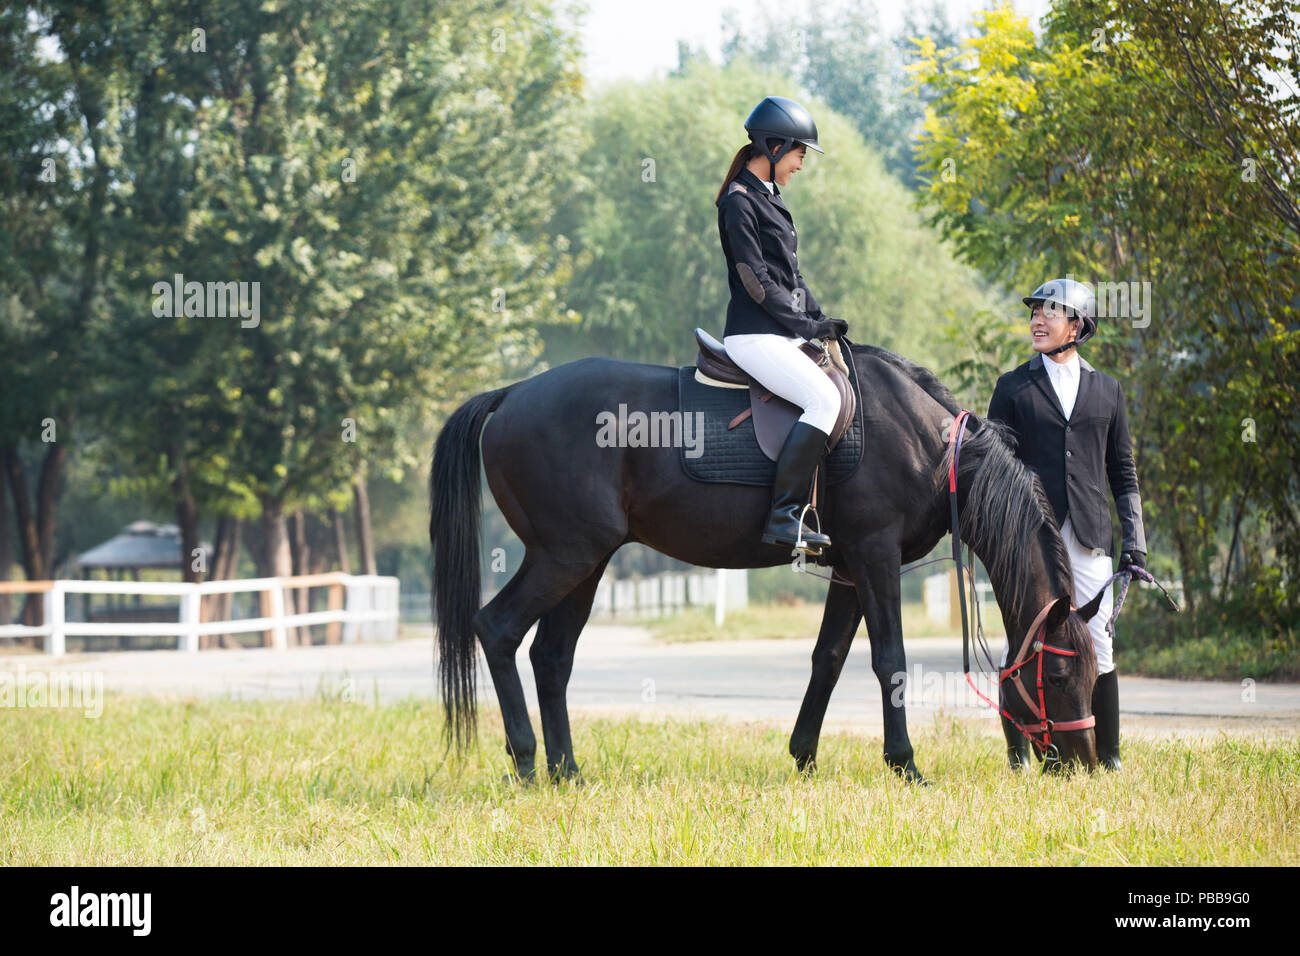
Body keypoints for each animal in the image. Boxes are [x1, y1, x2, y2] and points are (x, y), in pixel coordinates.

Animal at [429, 343, 1101, 784]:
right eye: (1059, 674)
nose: (1085, 764)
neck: (925, 444)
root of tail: (512, 394)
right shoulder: (876, 554)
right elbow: (890, 660)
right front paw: (906, 765)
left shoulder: (851, 567)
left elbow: (829, 658)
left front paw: (804, 756)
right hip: (563, 555)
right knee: (497, 629)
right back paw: (524, 762)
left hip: (585, 563)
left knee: (551, 657)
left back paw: (568, 772)